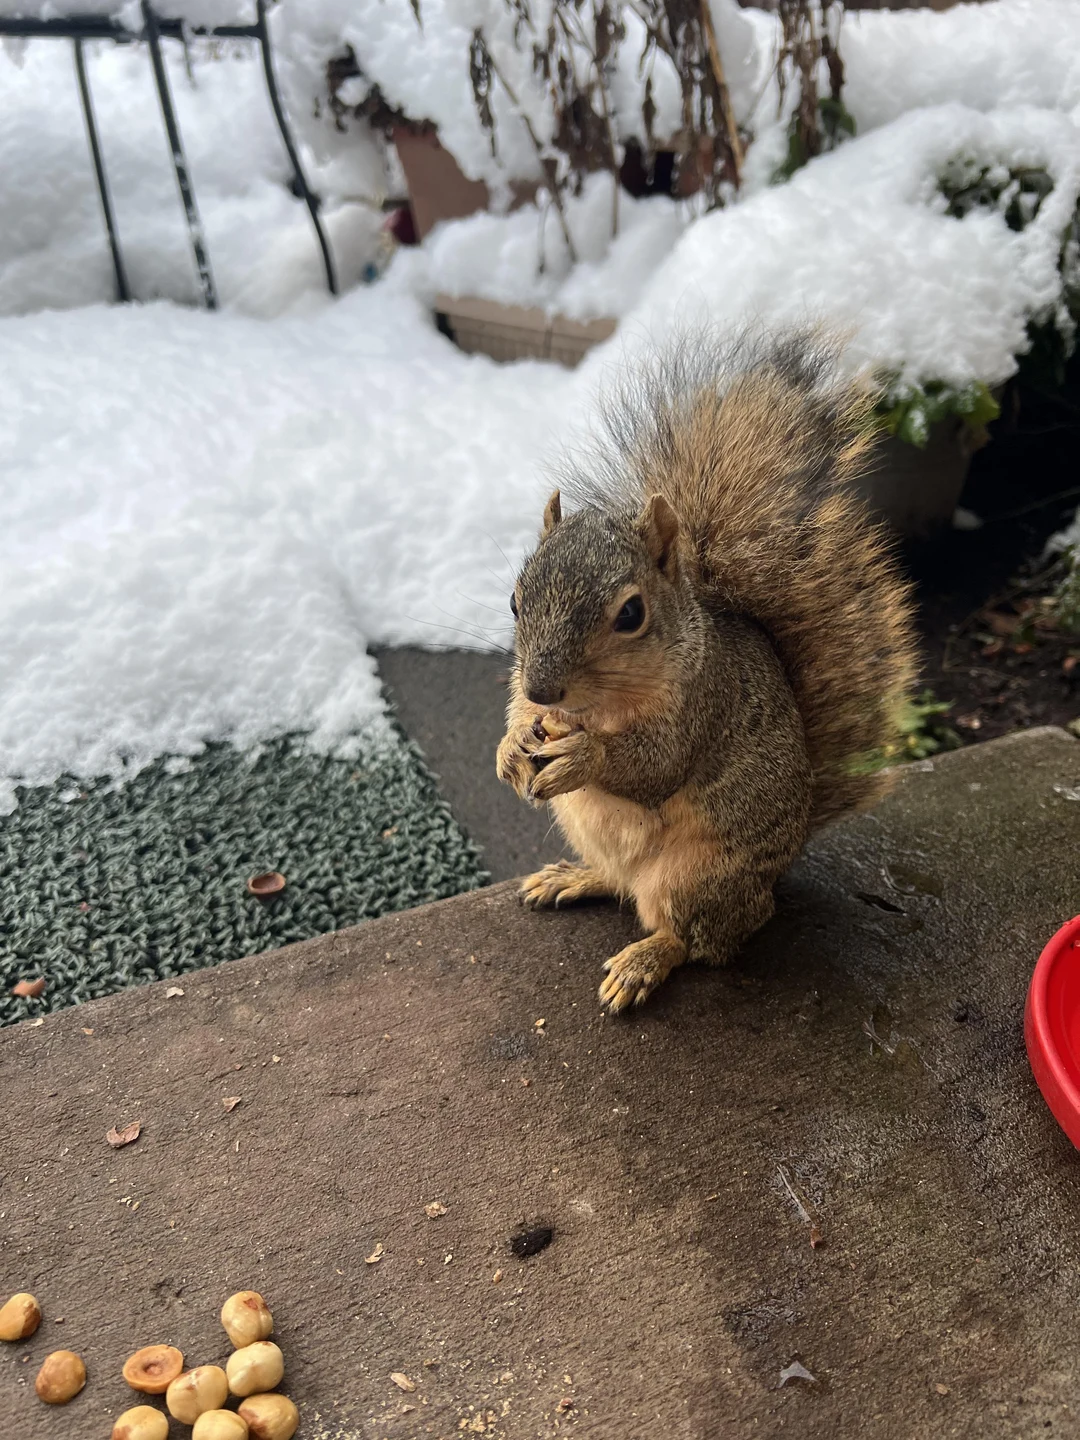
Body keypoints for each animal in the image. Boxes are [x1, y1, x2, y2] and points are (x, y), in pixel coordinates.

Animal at [495, 330, 918, 1013]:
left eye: (632, 613)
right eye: (515, 600)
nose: (543, 686)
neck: (594, 708)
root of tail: (777, 873)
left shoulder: (704, 703)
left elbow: (656, 765)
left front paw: (586, 756)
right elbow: (520, 717)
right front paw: (510, 748)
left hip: (700, 877)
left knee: (695, 938)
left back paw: (642, 962)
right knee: (618, 883)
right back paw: (574, 877)